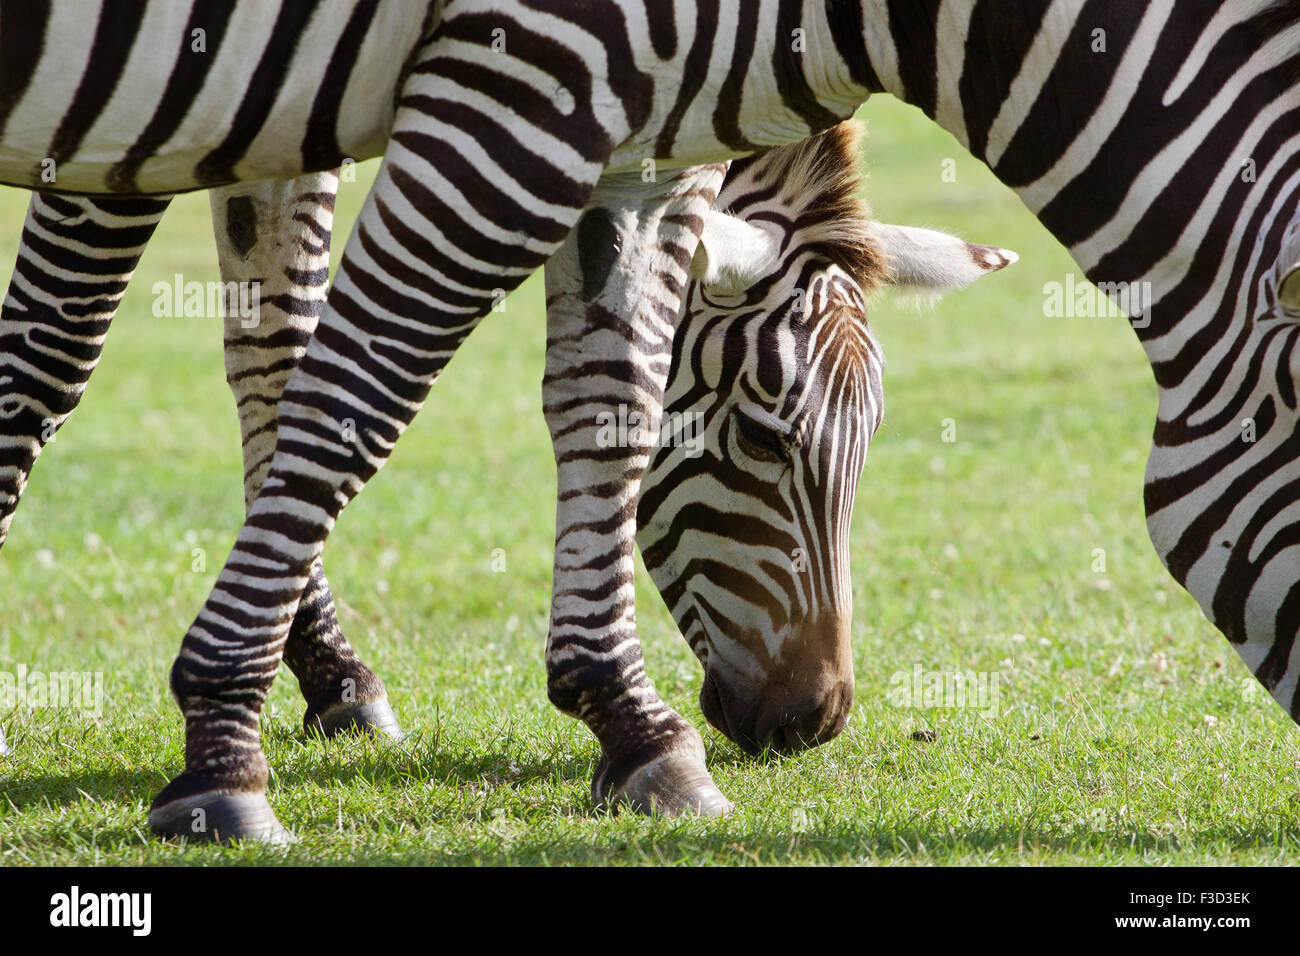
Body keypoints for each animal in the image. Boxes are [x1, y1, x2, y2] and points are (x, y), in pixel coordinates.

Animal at [108, 0, 1300, 837]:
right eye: (766, 439)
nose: (815, 722)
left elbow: (602, 397)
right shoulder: (512, 93)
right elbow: (347, 384)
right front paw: (220, 755)